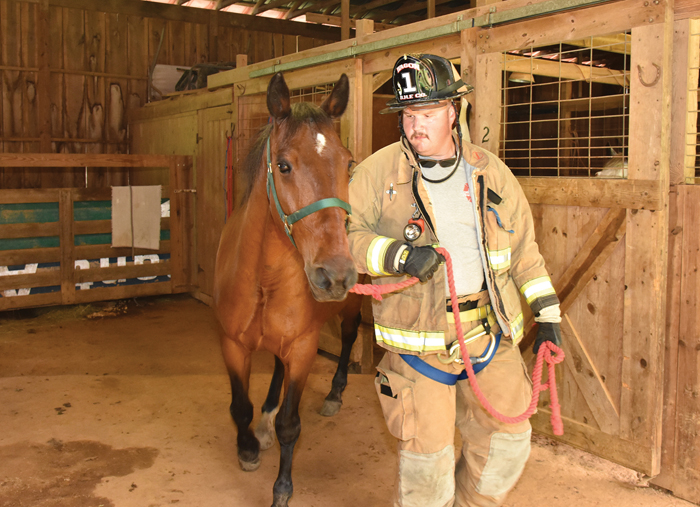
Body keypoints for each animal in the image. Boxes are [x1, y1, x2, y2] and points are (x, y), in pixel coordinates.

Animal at [213, 72, 362, 507]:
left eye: (348, 163)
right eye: (283, 165)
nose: (335, 274)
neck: (262, 279)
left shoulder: (303, 349)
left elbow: (290, 425)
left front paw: (282, 488)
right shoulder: (232, 344)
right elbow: (240, 407)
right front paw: (247, 447)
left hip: (349, 311)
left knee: (349, 338)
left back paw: (334, 394)